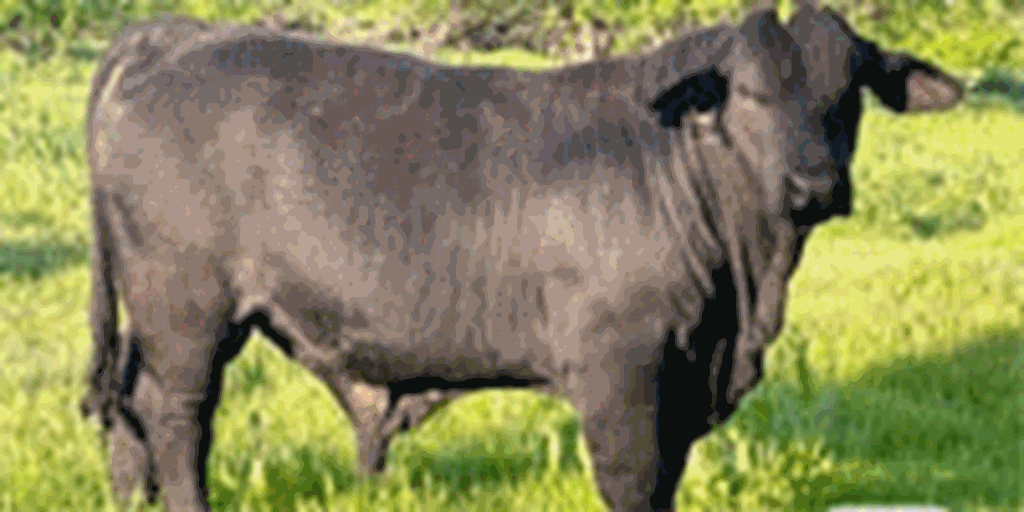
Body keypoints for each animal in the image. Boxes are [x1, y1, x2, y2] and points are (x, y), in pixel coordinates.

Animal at [80, 2, 963, 510]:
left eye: (849, 93)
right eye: (749, 92)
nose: (817, 183)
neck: (745, 294)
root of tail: (171, 35)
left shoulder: (683, 374)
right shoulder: (621, 370)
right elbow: (634, 482)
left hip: (154, 314)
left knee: (130, 410)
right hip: (185, 309)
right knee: (177, 419)